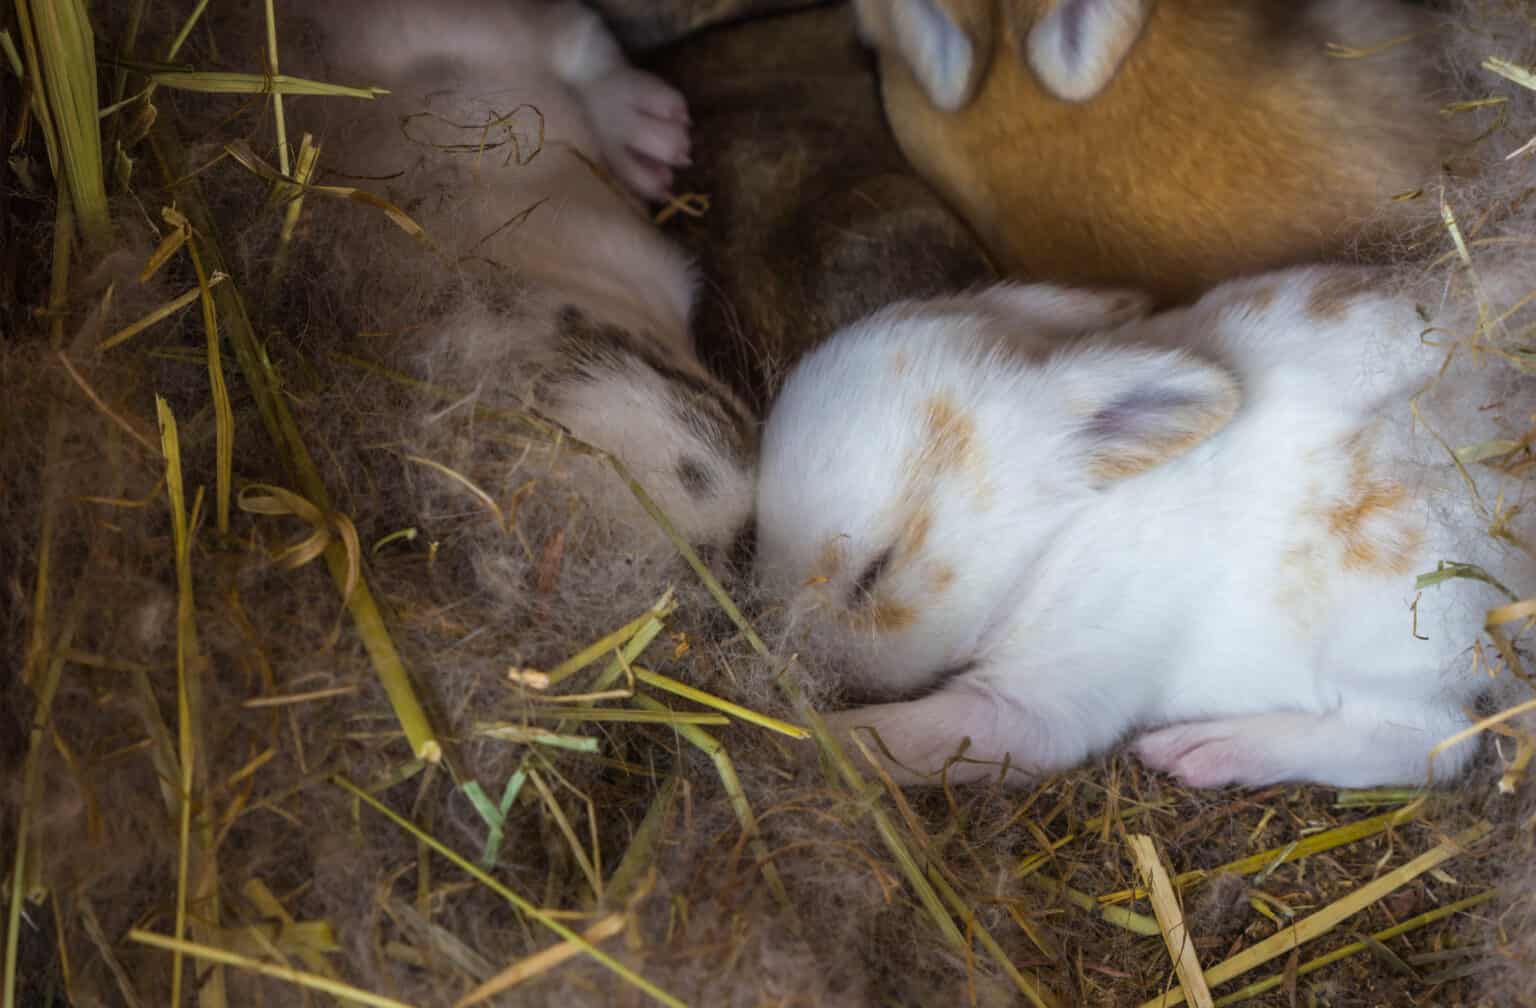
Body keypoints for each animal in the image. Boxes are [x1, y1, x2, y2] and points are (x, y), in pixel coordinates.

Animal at [754, 266, 1535, 789]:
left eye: (874, 573)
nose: (798, 659)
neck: (1048, 546)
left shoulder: (1043, 701)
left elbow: (913, 735)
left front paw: (807, 736)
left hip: (1391, 637)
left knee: (1425, 745)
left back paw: (1203, 750)